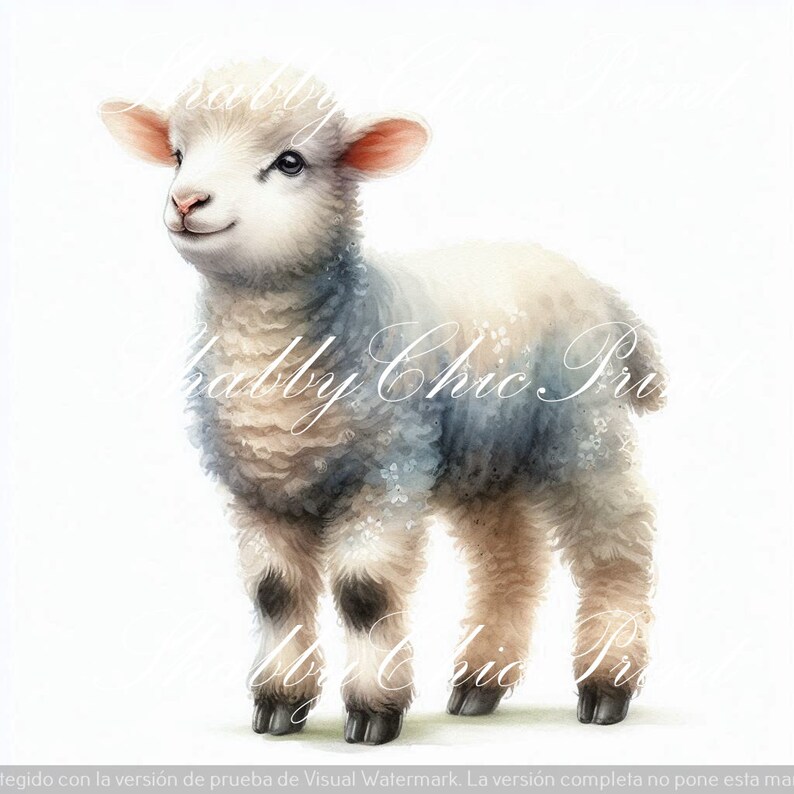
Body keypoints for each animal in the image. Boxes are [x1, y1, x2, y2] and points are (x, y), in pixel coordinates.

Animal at [100, 57, 666, 745]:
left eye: (291, 162)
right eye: (178, 154)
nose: (186, 200)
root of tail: (605, 295)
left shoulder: (387, 471)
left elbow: (364, 593)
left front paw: (373, 712)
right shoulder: (257, 487)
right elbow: (273, 593)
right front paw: (278, 705)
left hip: (582, 430)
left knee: (618, 546)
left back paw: (607, 685)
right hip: (484, 462)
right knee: (512, 559)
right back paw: (480, 684)